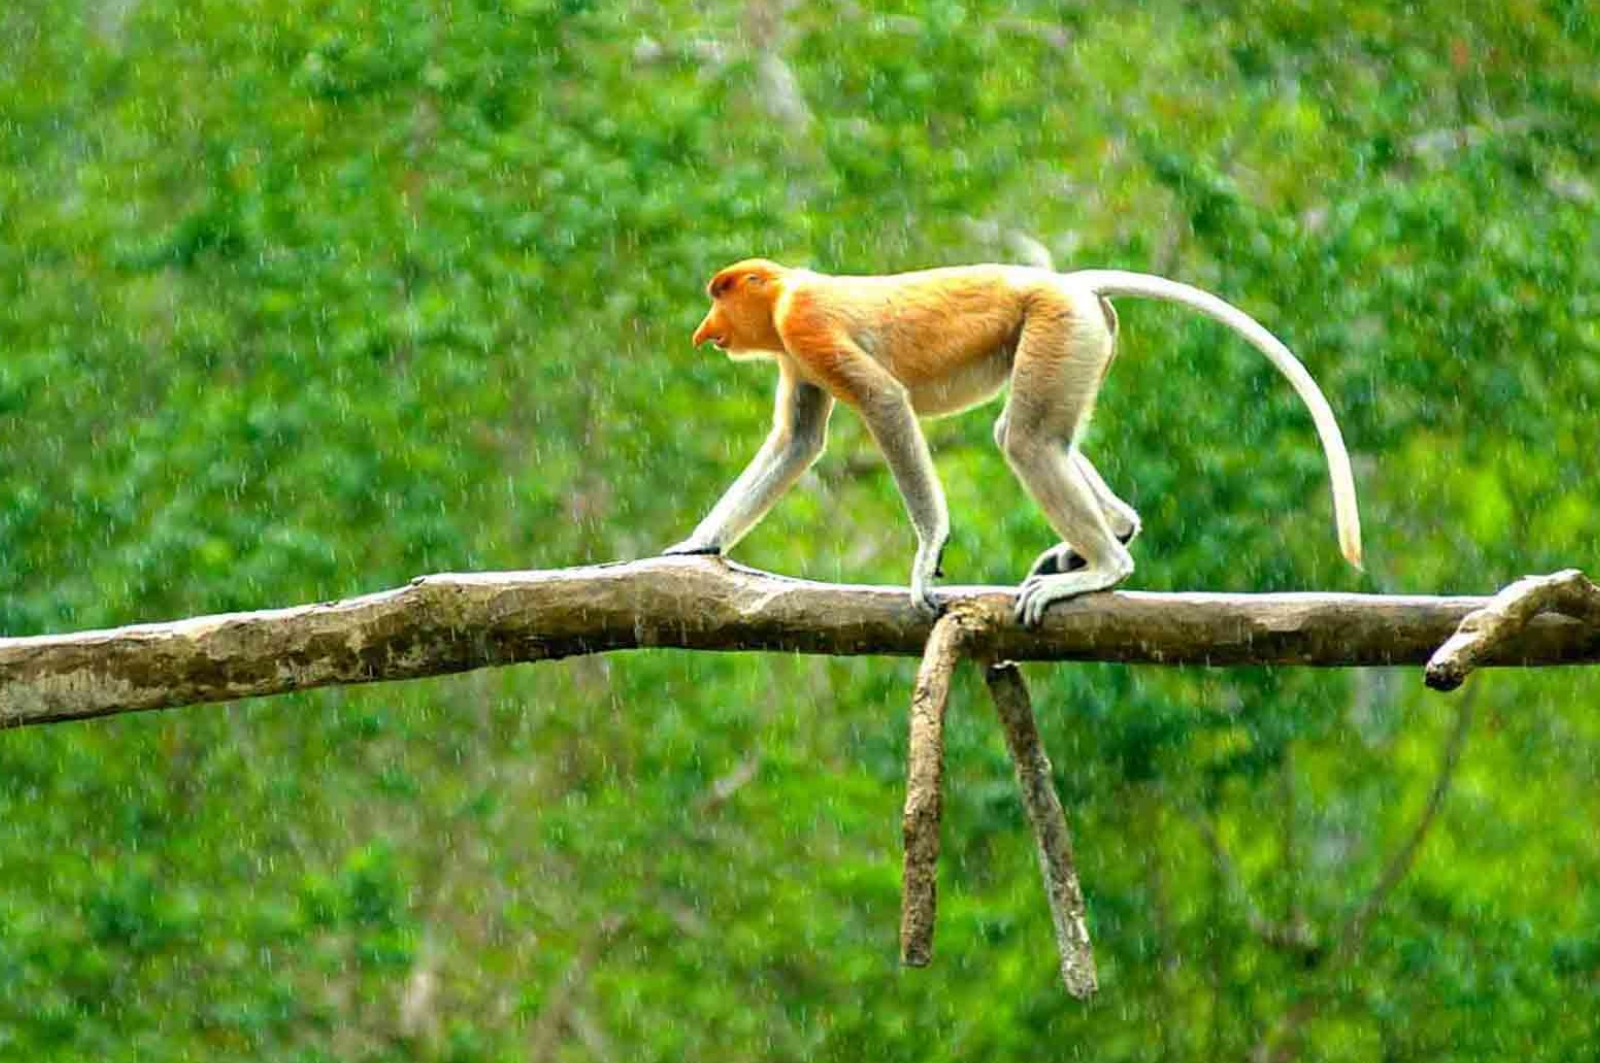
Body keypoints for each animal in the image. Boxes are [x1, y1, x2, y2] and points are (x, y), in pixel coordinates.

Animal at [663, 259, 1362, 626]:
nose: (703, 331)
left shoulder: (805, 327)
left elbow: (885, 403)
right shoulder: (796, 357)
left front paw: (928, 557)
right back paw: (1113, 529)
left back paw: (1105, 565)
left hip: (1059, 328)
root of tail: (1071, 282)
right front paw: (696, 546)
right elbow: (798, 441)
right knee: (1045, 438)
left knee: (1025, 439)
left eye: (720, 293)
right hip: (1082, 339)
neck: (788, 288)